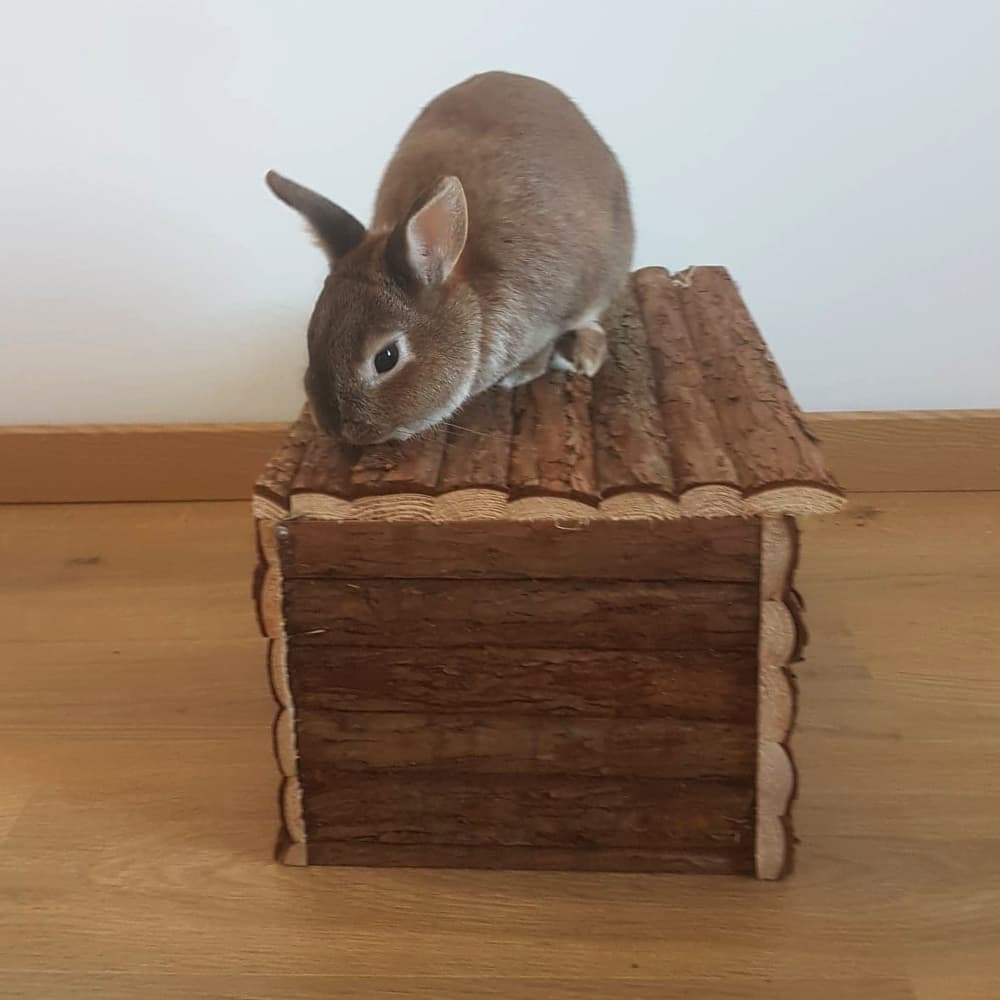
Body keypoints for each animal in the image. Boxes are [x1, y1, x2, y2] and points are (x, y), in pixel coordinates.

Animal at [266, 70, 634, 445]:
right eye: (312, 334)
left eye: (386, 358)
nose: (335, 428)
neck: (471, 297)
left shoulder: (549, 318)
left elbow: (542, 349)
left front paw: (519, 375)